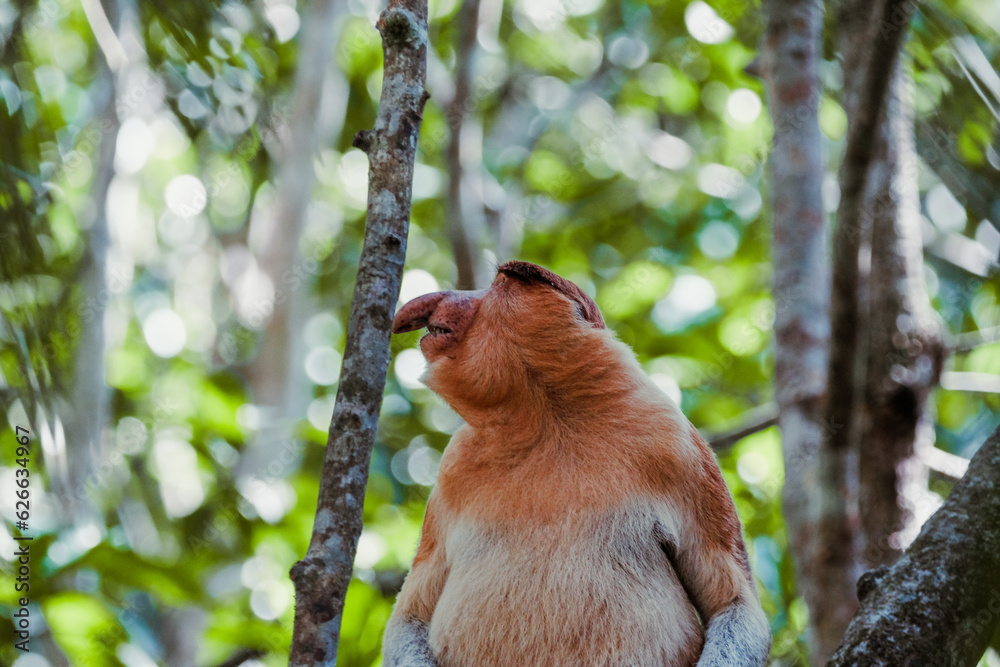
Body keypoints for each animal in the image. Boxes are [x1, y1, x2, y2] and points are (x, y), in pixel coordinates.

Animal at [382, 260, 770, 667]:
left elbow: (733, 604)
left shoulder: (676, 445)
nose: (437, 302)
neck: (547, 420)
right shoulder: (454, 466)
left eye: (496, 284)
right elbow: (409, 617)